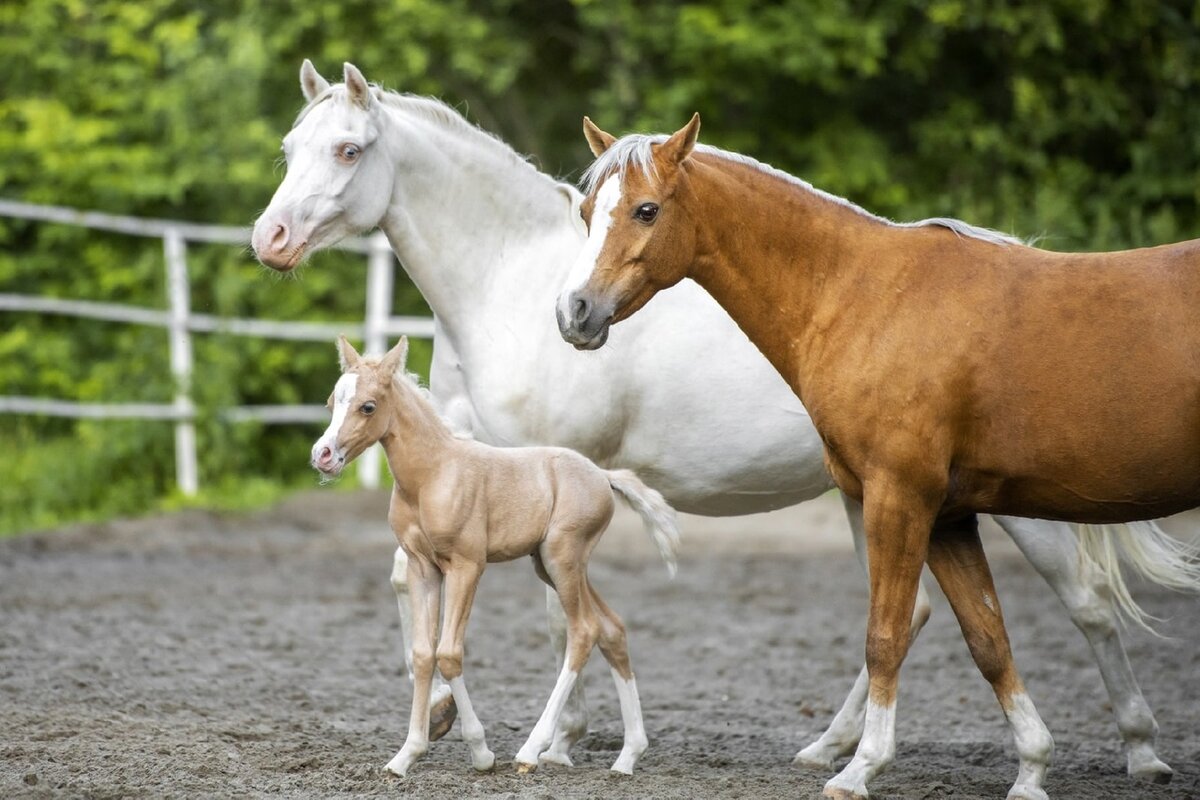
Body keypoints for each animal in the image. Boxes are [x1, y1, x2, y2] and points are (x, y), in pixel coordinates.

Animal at [309, 335, 681, 777]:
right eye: (331, 402)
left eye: (367, 406)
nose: (323, 455)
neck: (432, 475)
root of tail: (603, 476)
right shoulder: (422, 567)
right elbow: (423, 654)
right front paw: (405, 756)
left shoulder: (467, 566)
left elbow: (449, 653)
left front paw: (481, 752)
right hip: (549, 565)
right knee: (612, 628)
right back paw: (627, 756)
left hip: (563, 558)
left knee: (584, 631)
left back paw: (532, 750)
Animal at [559, 113, 1200, 800]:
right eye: (587, 211)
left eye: (647, 210)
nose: (574, 311)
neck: (861, 297)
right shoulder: (948, 517)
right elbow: (987, 638)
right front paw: (1031, 768)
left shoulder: (900, 499)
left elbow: (885, 636)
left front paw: (861, 765)